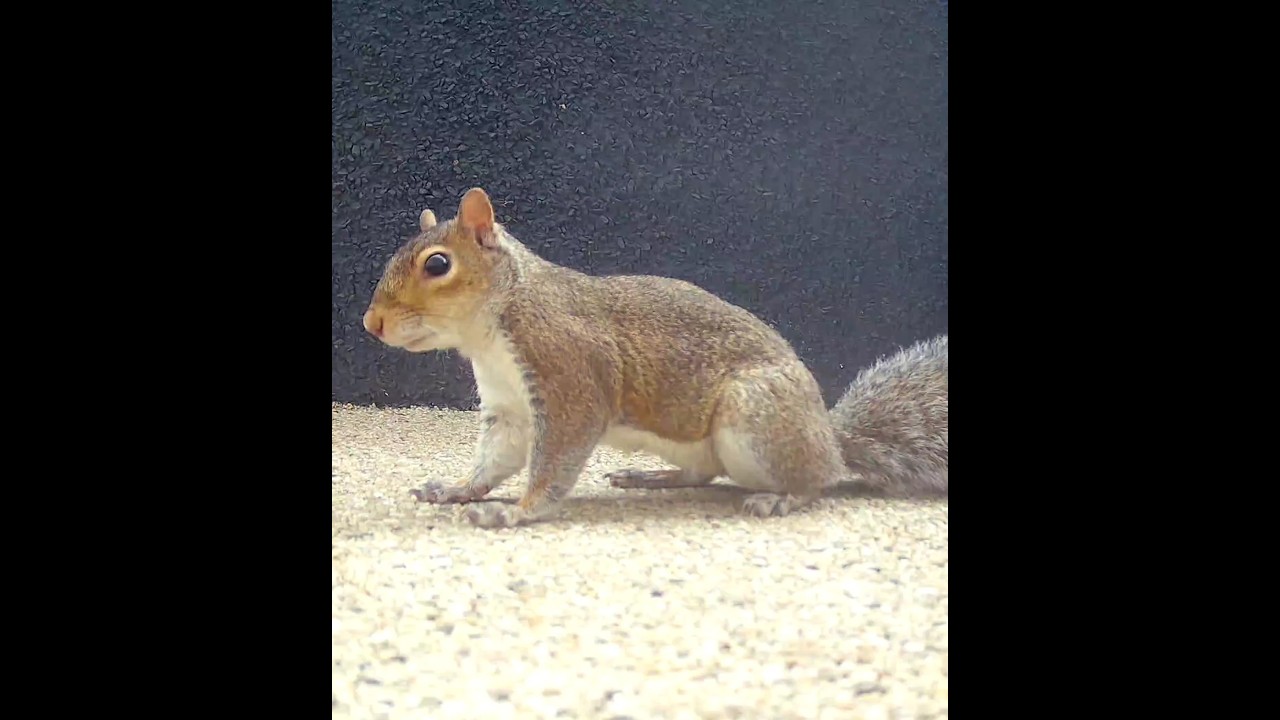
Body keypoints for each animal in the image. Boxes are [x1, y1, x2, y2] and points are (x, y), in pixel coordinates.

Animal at [362, 187, 947, 528]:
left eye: (438, 264)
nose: (372, 323)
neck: (493, 327)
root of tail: (829, 435)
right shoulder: (510, 408)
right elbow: (496, 459)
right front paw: (458, 489)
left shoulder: (571, 374)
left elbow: (554, 462)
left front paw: (516, 510)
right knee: (705, 473)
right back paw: (653, 477)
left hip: (755, 415)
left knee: (817, 479)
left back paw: (783, 498)